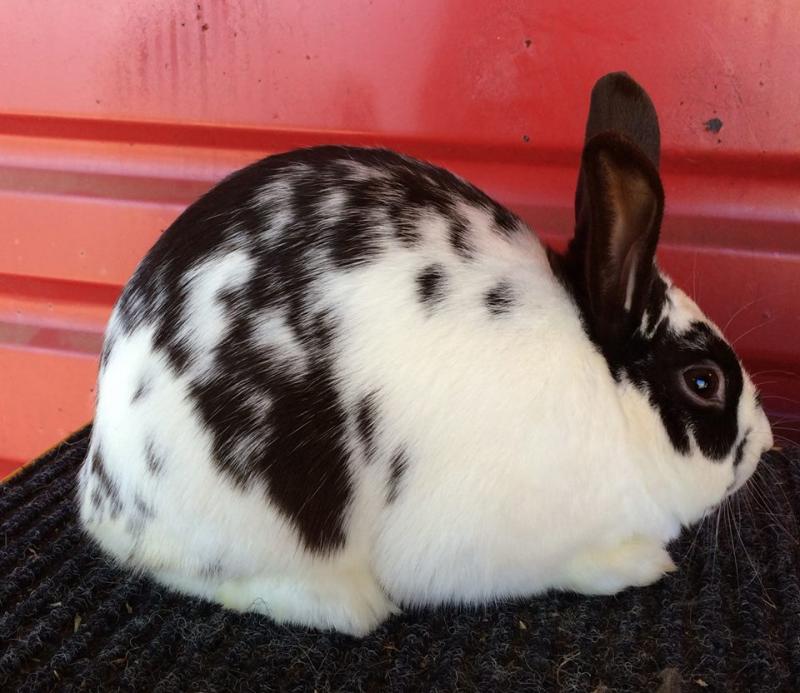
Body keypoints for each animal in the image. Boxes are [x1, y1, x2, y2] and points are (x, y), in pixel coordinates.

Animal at [77, 72, 773, 636]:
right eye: (704, 382)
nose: (765, 444)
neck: (608, 393)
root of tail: (103, 487)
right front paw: (643, 564)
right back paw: (349, 606)